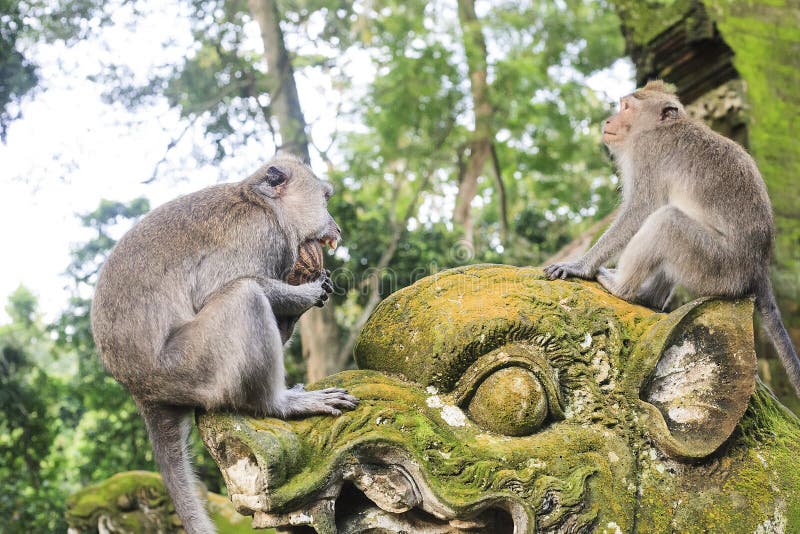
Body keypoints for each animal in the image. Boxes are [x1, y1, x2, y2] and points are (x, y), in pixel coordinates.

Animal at [90, 155, 358, 534]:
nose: (335, 226)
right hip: (188, 364)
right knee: (244, 296)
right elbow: (221, 290)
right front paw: (307, 293)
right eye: (326, 198)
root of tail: (141, 391)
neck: (263, 205)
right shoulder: (260, 236)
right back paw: (277, 403)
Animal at [544, 80, 800, 397]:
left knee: (666, 222)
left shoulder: (647, 153)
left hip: (718, 265)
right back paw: (649, 297)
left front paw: (580, 265)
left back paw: (622, 288)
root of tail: (759, 269)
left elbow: (641, 210)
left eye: (626, 108)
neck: (662, 127)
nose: (608, 121)